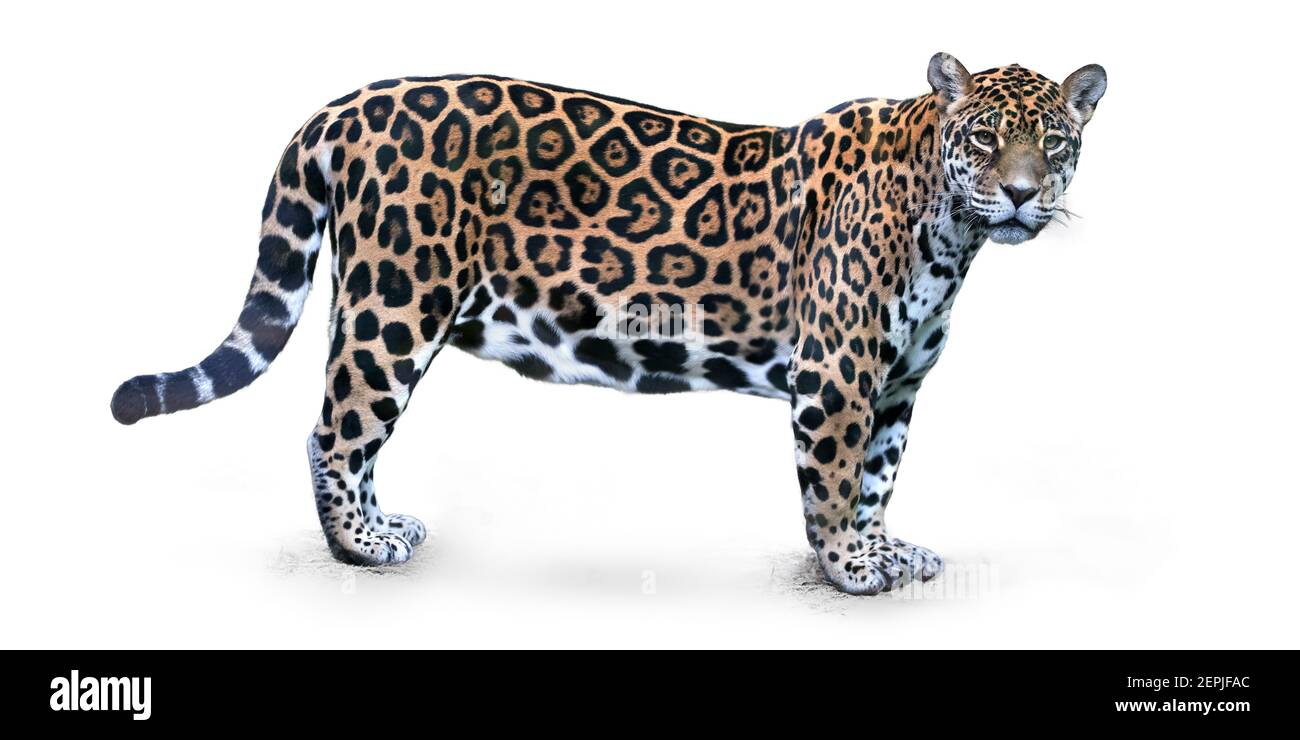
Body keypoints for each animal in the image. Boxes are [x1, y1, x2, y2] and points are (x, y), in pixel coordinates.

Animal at [111, 54, 1107, 594]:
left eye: (1054, 142)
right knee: (336, 429)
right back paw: (362, 546)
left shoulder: (896, 385)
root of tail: (344, 106)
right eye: (985, 138)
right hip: (395, 303)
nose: (1023, 194)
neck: (950, 231)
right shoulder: (837, 376)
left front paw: (886, 549)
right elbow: (832, 483)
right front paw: (848, 569)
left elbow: (878, 479)